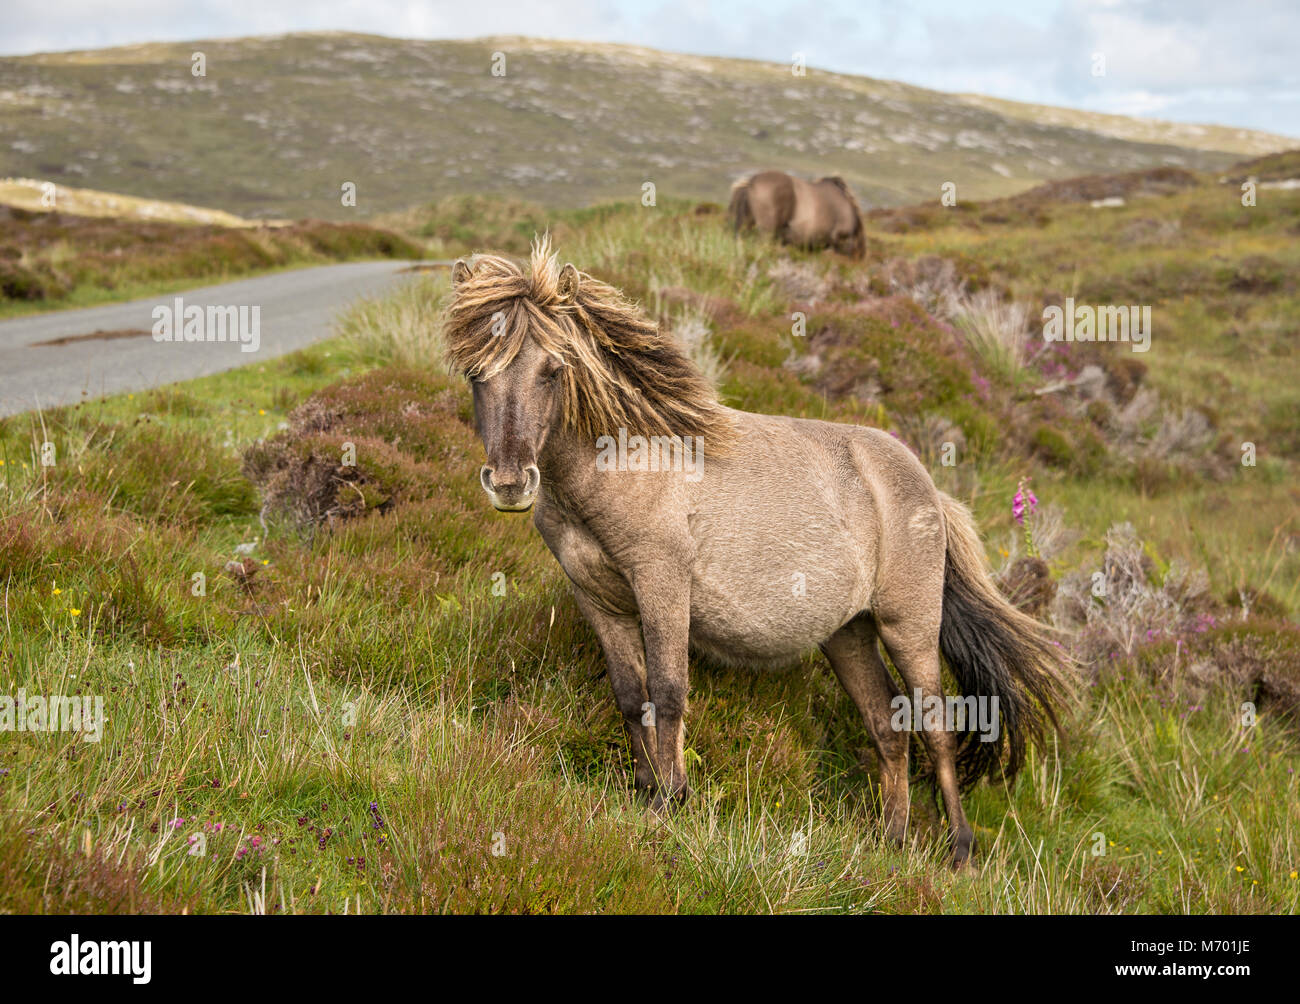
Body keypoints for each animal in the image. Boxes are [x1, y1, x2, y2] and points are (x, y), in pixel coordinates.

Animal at [443, 238, 1070, 866]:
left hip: (908, 626)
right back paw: (889, 840)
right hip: (848, 634)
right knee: (887, 725)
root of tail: (929, 490)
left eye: (552, 370)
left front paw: (670, 801)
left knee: (935, 724)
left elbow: (667, 693)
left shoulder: (662, 585)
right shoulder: (598, 600)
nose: (510, 484)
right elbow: (629, 695)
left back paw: (958, 848)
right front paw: (642, 790)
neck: (622, 464)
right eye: (475, 372)